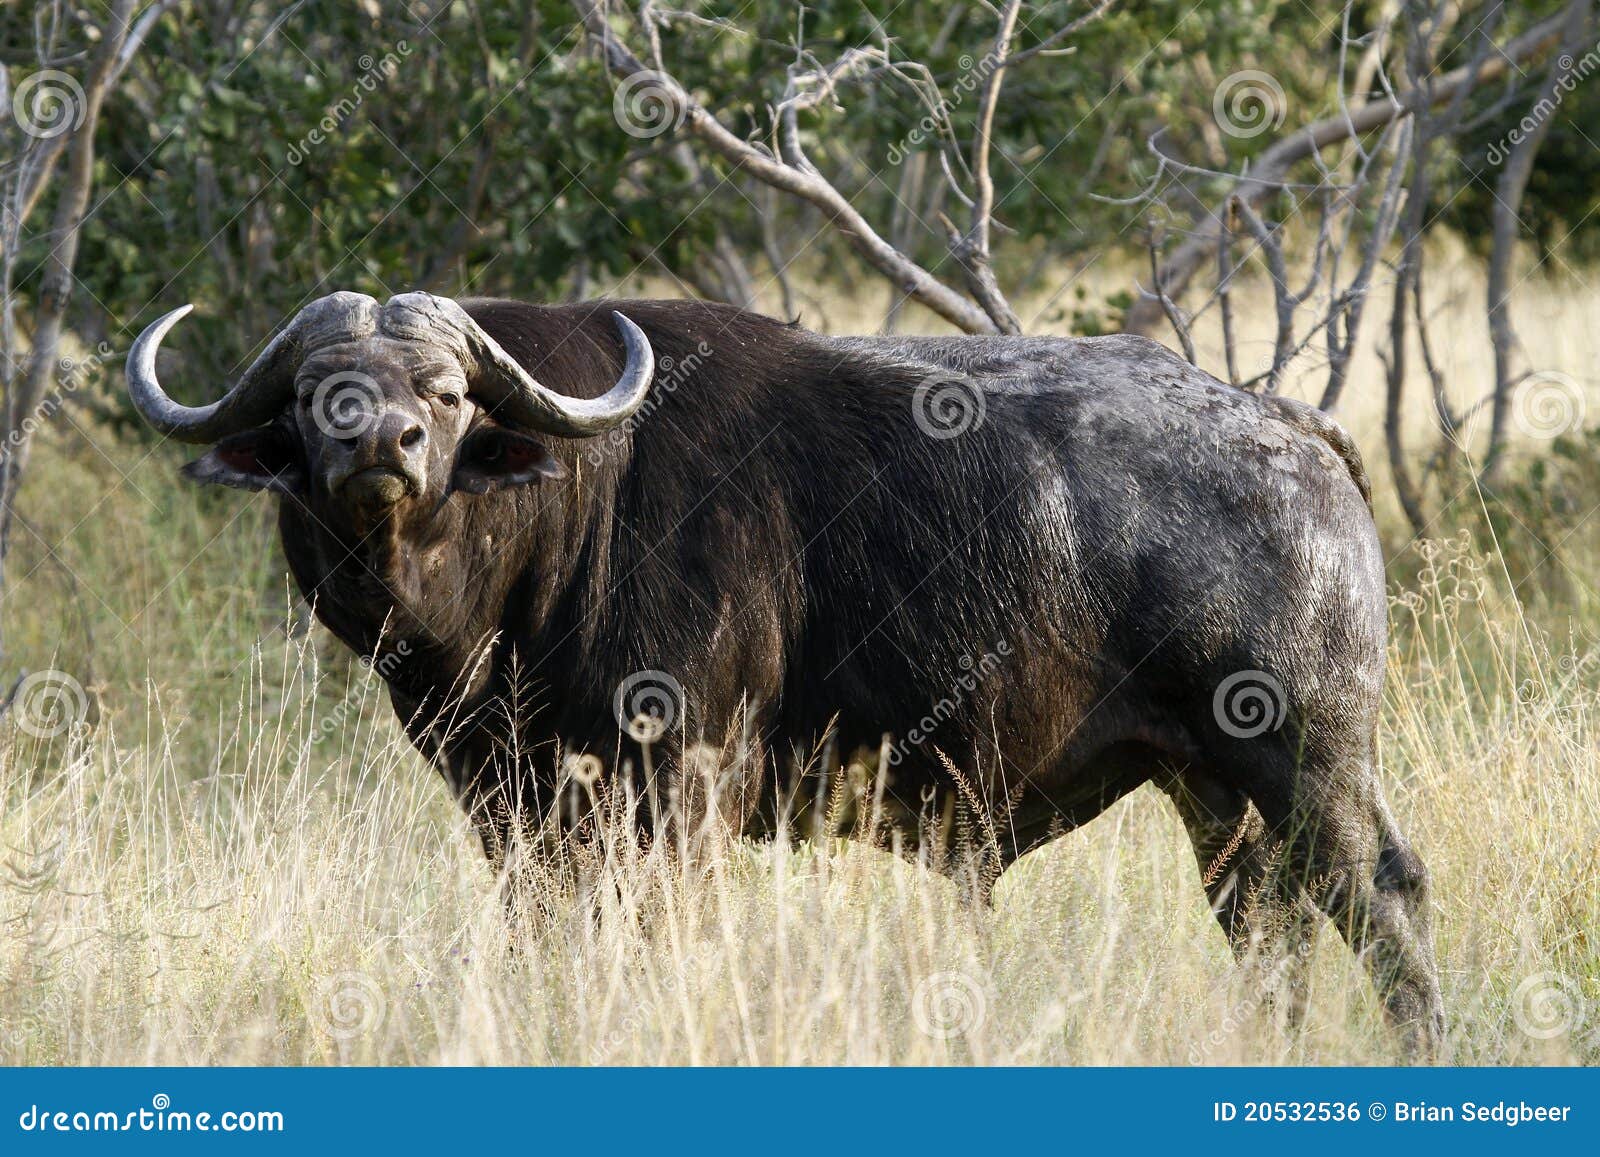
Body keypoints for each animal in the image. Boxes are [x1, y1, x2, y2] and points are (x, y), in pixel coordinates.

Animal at [127, 291, 1443, 1052]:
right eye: (316, 393)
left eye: (445, 391)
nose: (379, 444)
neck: (558, 524)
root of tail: (1289, 429)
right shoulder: (516, 806)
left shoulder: (682, 786)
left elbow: (662, 932)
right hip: (1212, 792)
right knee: (1267, 929)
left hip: (1303, 755)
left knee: (1381, 895)